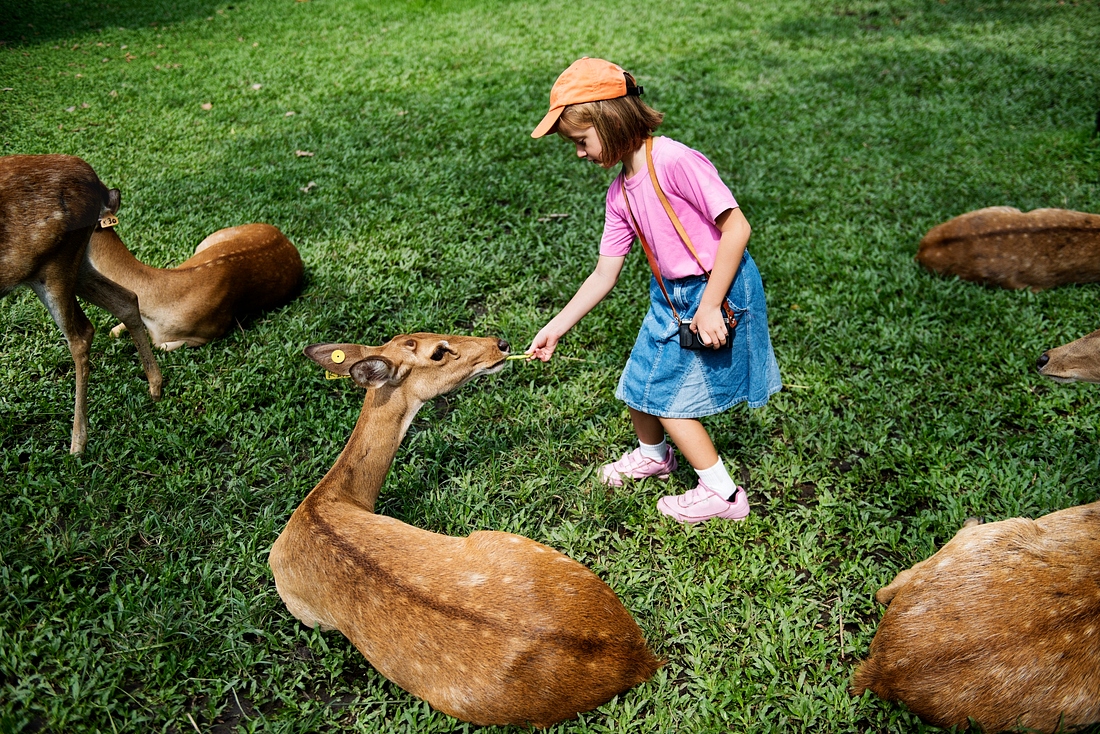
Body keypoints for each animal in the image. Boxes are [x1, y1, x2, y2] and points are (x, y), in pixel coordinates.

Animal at [0, 154, 163, 454]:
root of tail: (100, 186)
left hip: (57, 265)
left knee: (81, 334)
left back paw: (77, 442)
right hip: (72, 264)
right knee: (126, 297)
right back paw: (155, 387)